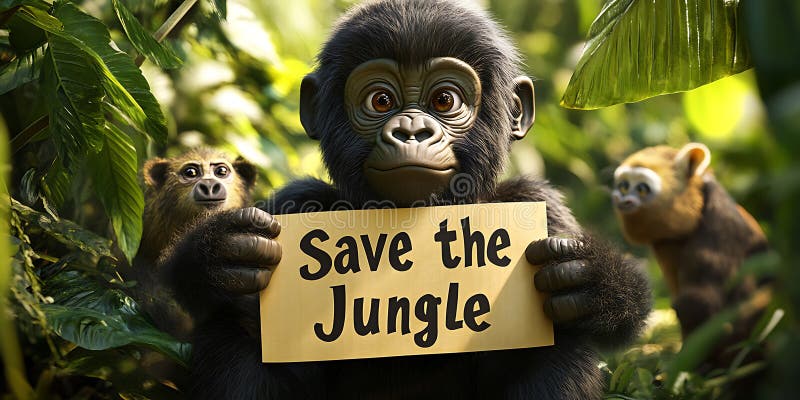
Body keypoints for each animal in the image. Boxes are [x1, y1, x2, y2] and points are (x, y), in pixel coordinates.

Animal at [160, 1, 652, 398]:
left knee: (563, 343)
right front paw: (225, 253)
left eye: (444, 99)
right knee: (234, 331)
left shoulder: (540, 205)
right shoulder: (294, 202)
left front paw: (589, 275)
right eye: (381, 100)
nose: (411, 130)